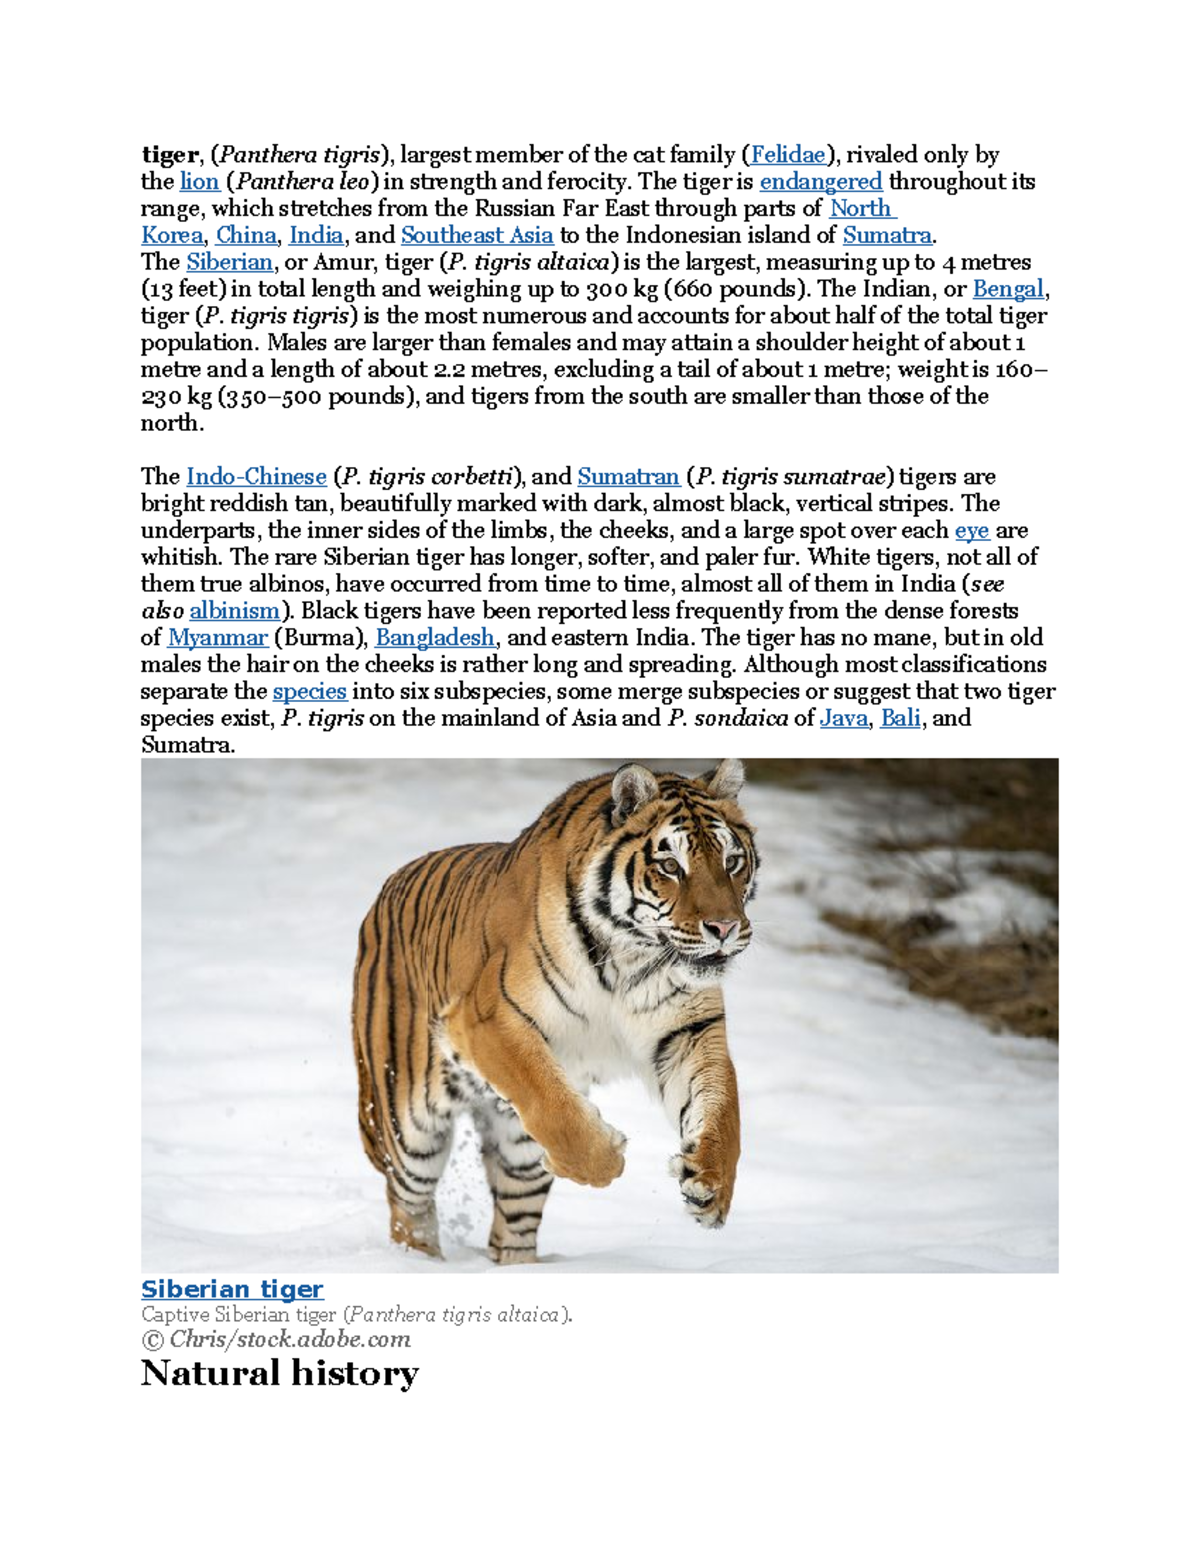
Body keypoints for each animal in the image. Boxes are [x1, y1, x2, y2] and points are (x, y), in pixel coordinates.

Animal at [352, 759, 757, 1264]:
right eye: (670, 866)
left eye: (732, 861)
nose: (725, 928)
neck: (631, 955)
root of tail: (386, 888)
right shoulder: (489, 1018)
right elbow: (552, 1104)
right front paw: (608, 1159)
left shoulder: (688, 1031)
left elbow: (722, 1109)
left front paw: (711, 1187)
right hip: (406, 1125)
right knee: (408, 1204)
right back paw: (419, 1263)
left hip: (518, 1151)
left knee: (513, 1222)